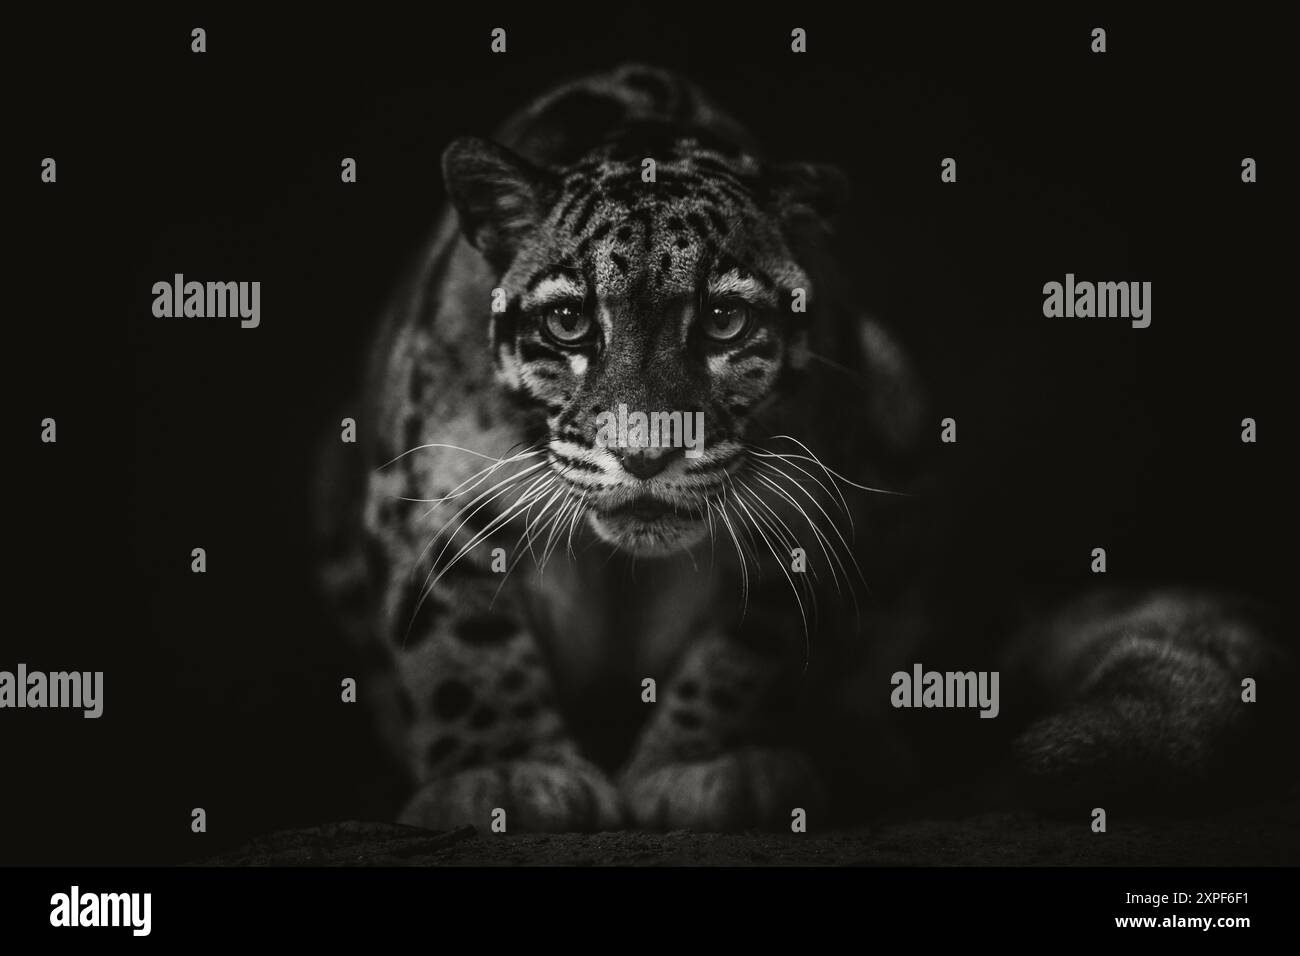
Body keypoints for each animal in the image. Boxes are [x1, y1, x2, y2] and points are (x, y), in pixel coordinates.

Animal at [314, 64, 1294, 833]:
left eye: (722, 319)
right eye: (567, 323)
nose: (645, 453)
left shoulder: (816, 494)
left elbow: (755, 647)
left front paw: (707, 766)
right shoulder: (430, 490)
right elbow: (459, 644)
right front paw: (507, 773)